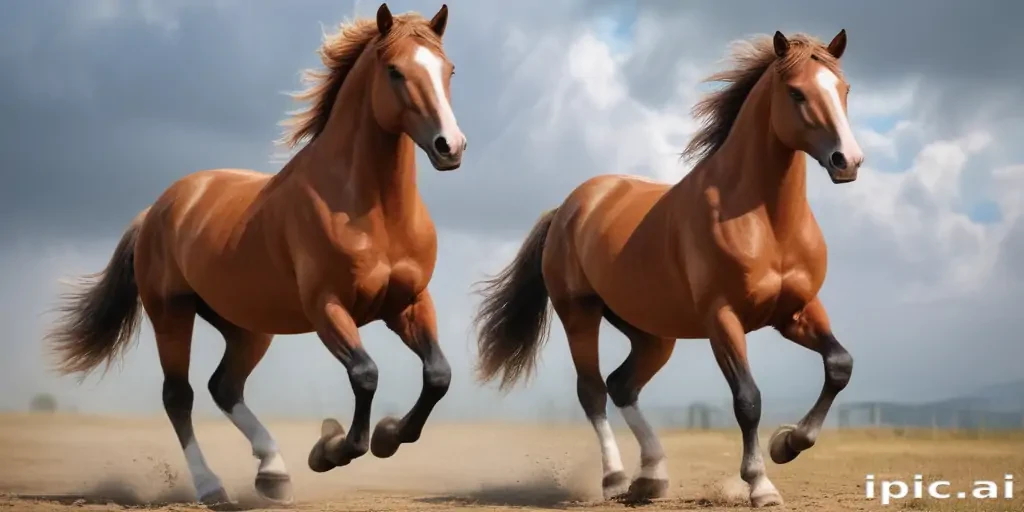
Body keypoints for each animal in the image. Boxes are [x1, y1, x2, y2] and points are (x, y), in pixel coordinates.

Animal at [44, 3, 465, 505]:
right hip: (171, 312)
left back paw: (273, 473)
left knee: (224, 387)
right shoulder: (328, 308)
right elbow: (365, 373)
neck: (373, 212)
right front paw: (330, 449)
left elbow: (438, 375)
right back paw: (213, 488)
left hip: (247, 328)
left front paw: (387, 436)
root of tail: (158, 208)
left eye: (449, 69)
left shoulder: (409, 303)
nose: (450, 146)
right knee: (179, 396)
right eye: (395, 71)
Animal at [473, 29, 862, 507]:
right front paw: (761, 484)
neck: (766, 222)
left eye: (844, 89)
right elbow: (747, 399)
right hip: (579, 314)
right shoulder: (723, 320)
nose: (848, 161)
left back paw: (652, 476)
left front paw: (787, 443)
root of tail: (568, 207)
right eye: (796, 92)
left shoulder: (795, 312)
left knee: (622, 385)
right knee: (593, 392)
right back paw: (616, 478)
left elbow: (839, 365)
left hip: (653, 334)